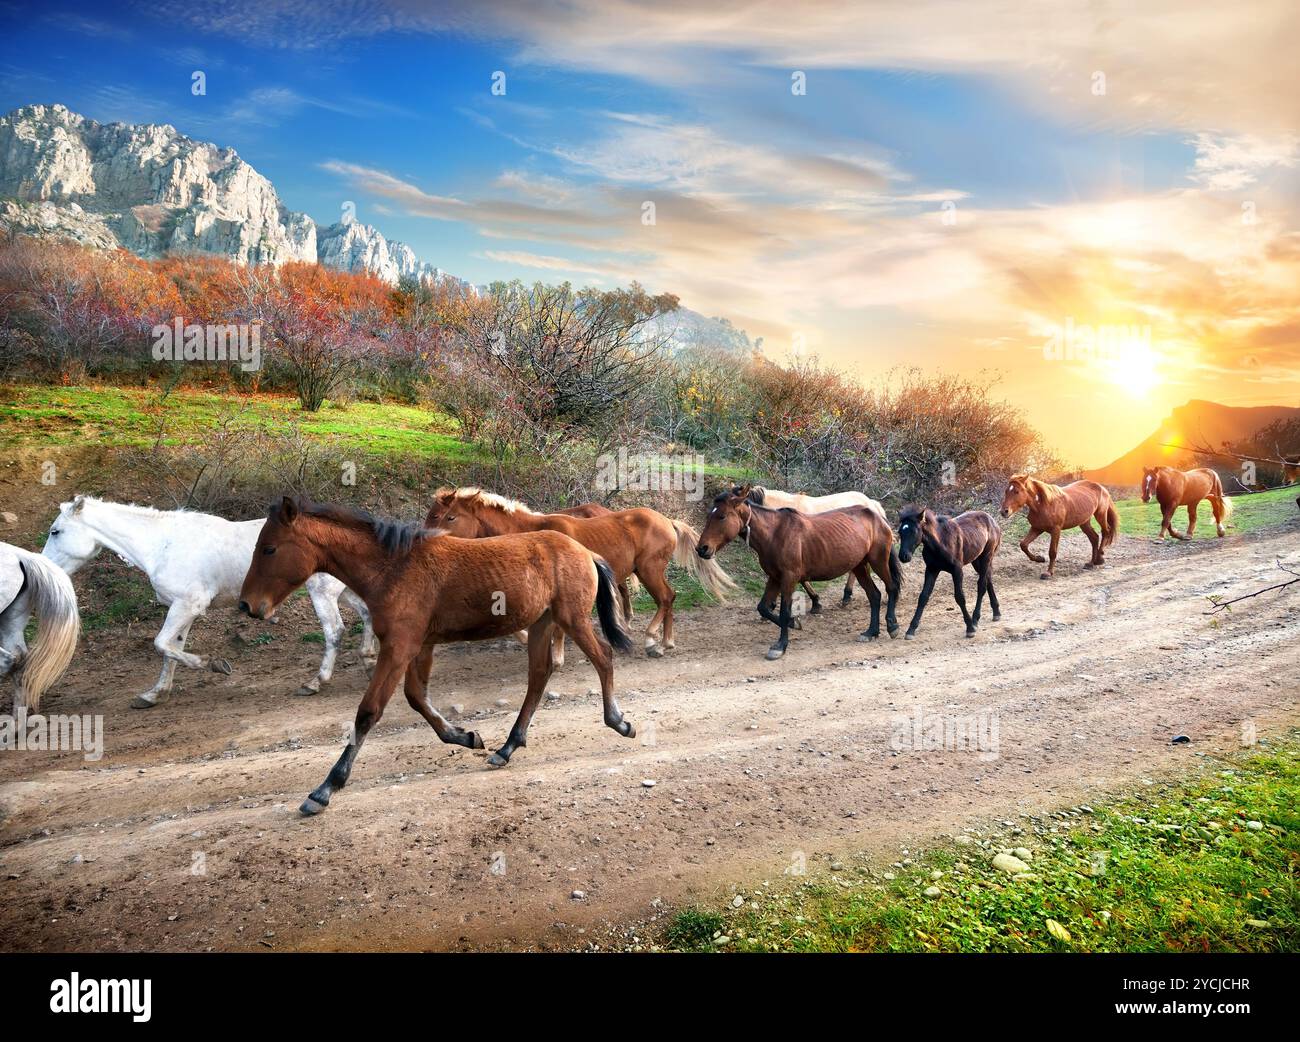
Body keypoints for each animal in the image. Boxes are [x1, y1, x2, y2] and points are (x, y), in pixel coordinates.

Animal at [41, 496, 377, 707]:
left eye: (56, 531)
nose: (46, 567)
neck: (163, 544)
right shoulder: (180, 608)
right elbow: (170, 649)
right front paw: (155, 695)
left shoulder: (189, 604)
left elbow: (162, 645)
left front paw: (213, 664)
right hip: (344, 590)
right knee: (366, 614)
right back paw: (369, 661)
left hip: (323, 592)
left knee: (335, 632)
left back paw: (316, 682)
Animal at [237, 497, 636, 815]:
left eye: (269, 549)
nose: (247, 605)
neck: (393, 568)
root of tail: (585, 552)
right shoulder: (418, 646)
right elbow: (416, 698)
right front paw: (465, 736)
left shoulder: (399, 647)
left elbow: (369, 711)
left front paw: (325, 789)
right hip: (543, 623)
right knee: (539, 675)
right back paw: (507, 747)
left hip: (571, 618)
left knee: (602, 658)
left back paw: (618, 722)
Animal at [425, 487, 734, 658]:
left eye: (450, 516)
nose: (427, 539)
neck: (532, 532)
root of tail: (667, 521)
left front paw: (556, 654)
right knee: (668, 598)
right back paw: (666, 641)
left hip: (650, 571)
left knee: (666, 598)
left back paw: (652, 640)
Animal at [896, 507, 1002, 639]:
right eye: (900, 532)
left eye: (914, 531)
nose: (903, 556)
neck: (941, 542)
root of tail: (992, 521)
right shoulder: (931, 570)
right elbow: (923, 597)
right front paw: (911, 630)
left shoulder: (957, 570)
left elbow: (960, 597)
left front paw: (970, 628)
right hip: (976, 560)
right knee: (988, 579)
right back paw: (996, 612)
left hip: (986, 557)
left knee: (982, 585)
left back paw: (975, 619)